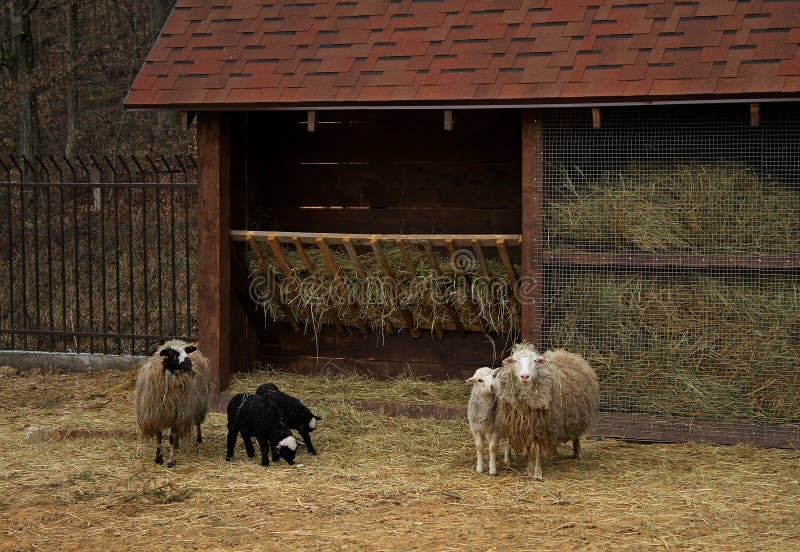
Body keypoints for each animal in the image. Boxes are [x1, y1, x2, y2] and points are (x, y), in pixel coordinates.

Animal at [495, 343, 599, 480]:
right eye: (515, 360)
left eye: (535, 361)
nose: (525, 376)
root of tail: (566, 352)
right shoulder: (524, 428)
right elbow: (528, 449)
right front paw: (529, 470)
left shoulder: (541, 427)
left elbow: (537, 450)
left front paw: (538, 473)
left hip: (577, 415)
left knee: (576, 436)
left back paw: (577, 454)